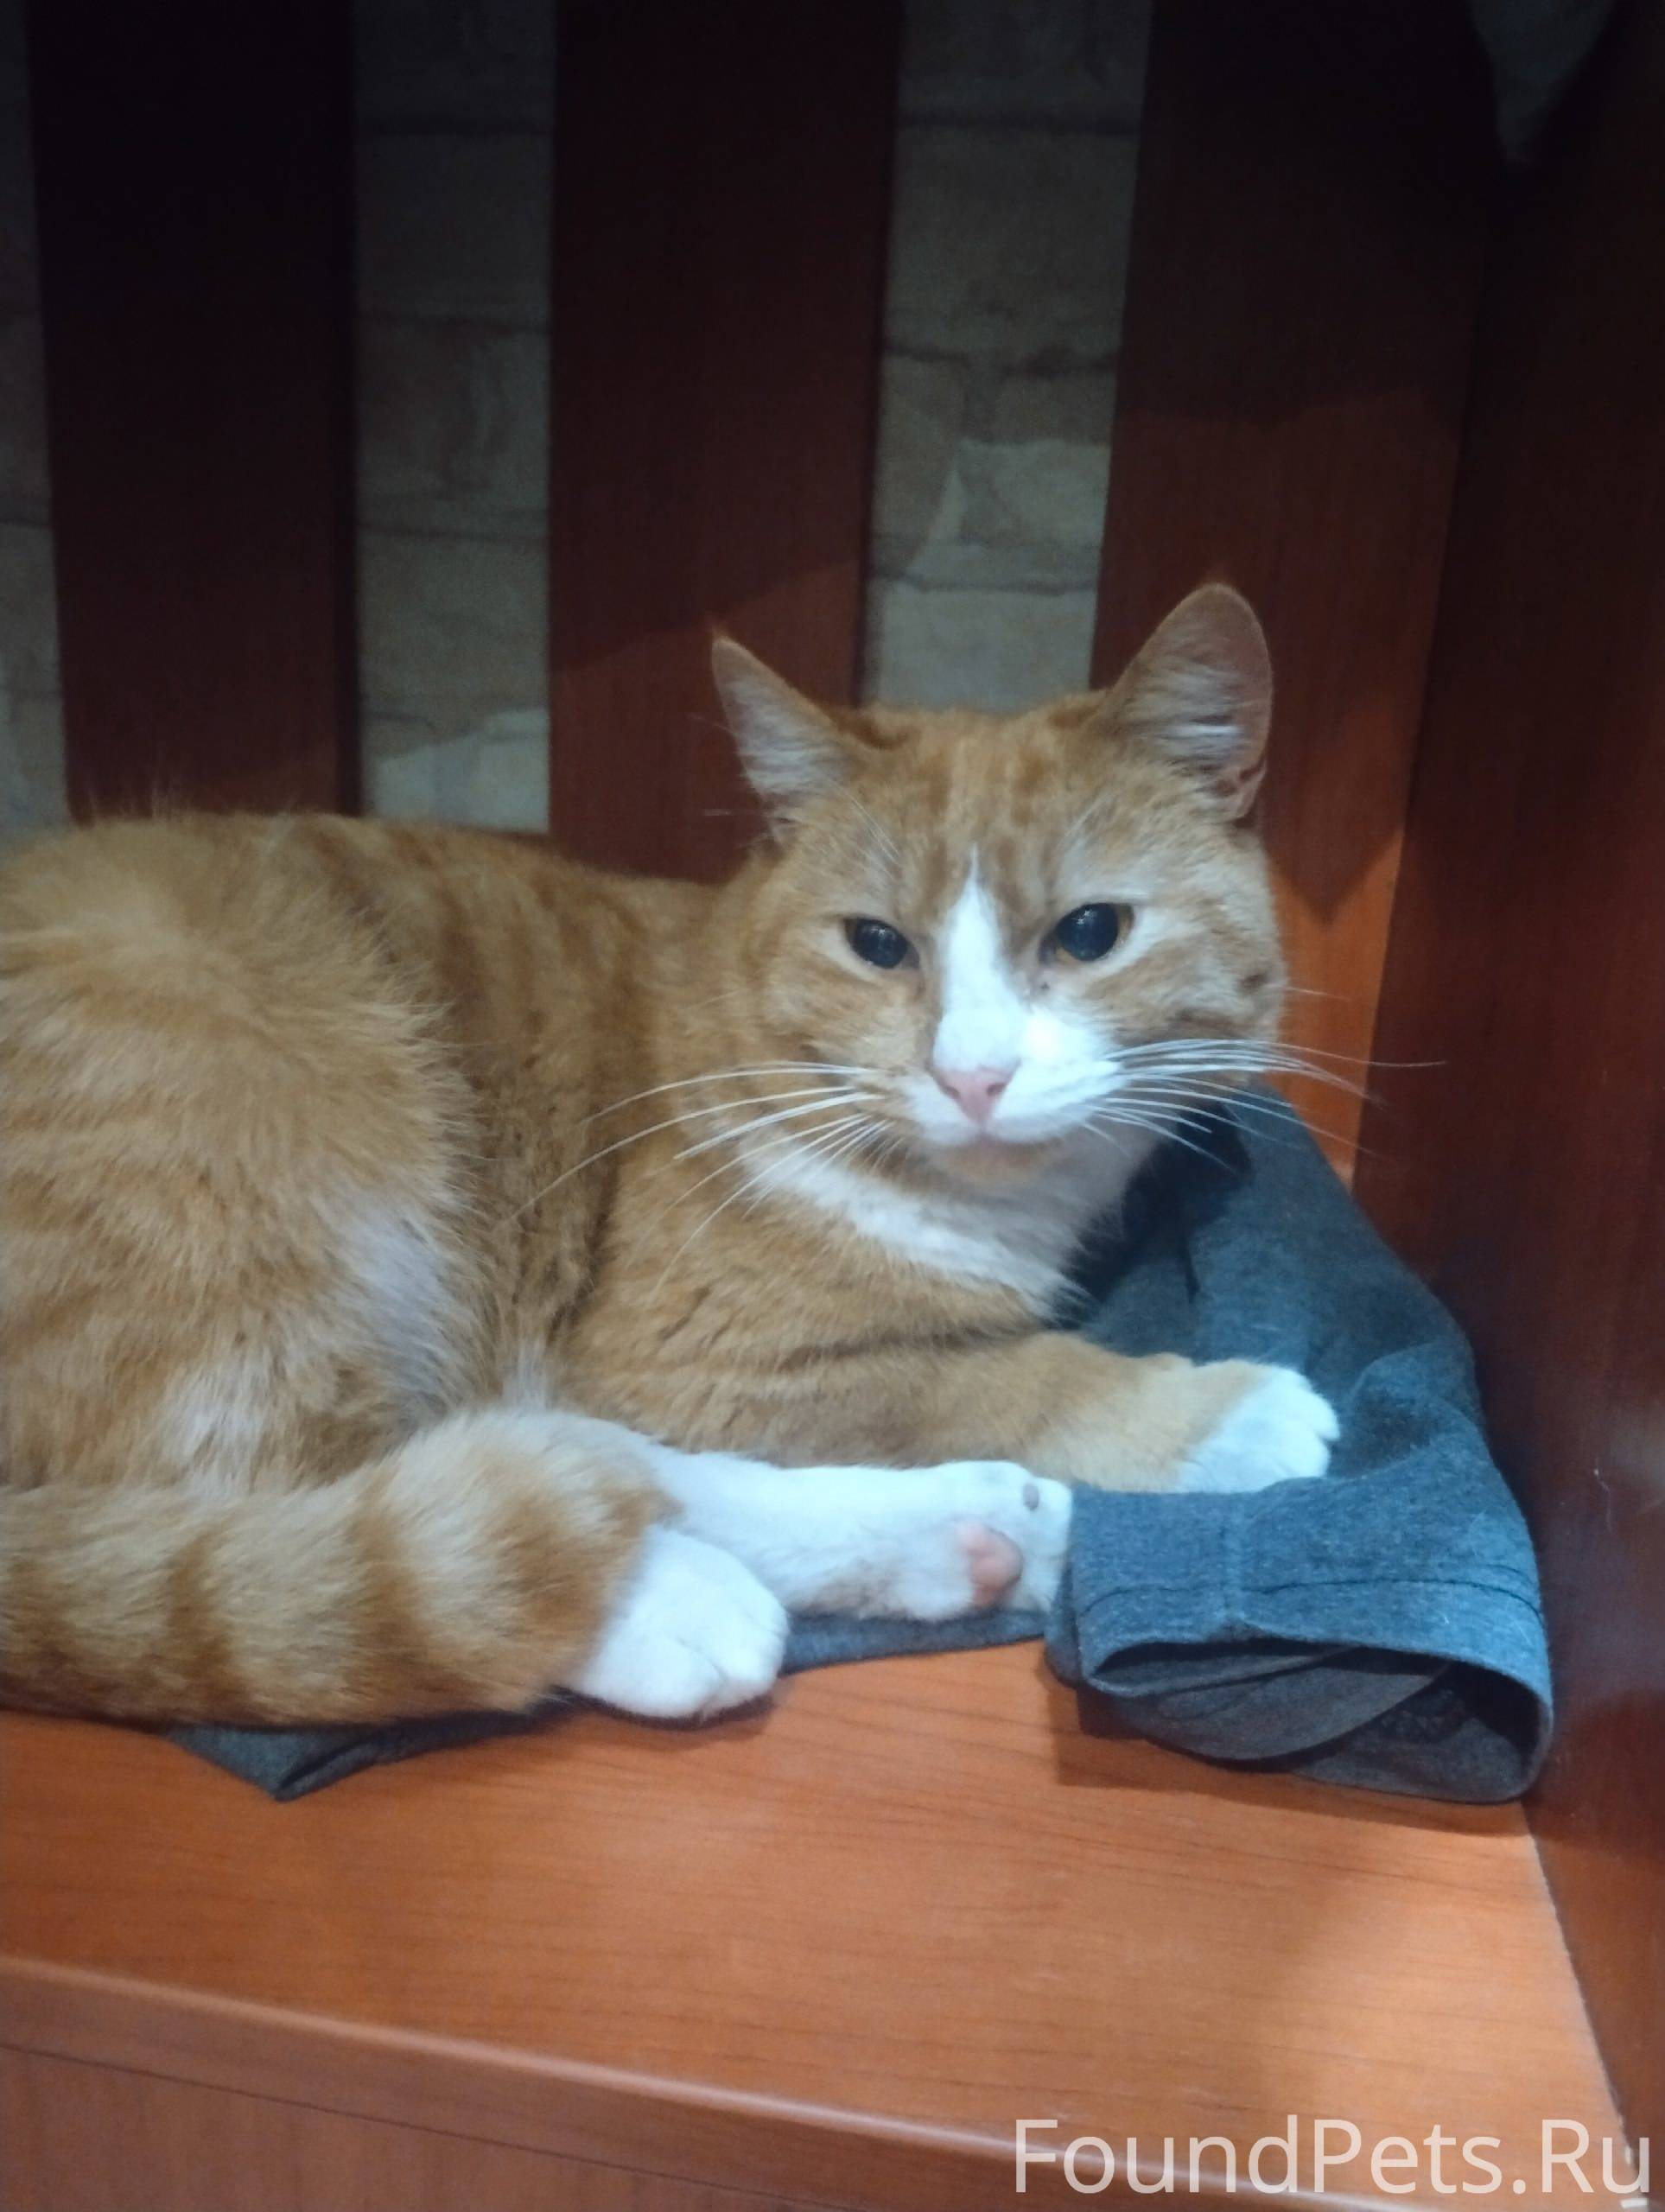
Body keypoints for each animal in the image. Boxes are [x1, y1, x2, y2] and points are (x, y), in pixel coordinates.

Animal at [0, 584, 1336, 1730]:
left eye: (1089, 932)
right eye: (876, 945)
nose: (973, 1075)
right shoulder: (689, 1356)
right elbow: (992, 1376)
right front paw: (1223, 1417)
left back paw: (960, 1540)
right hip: (269, 1167)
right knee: (313, 1510)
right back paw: (686, 1595)